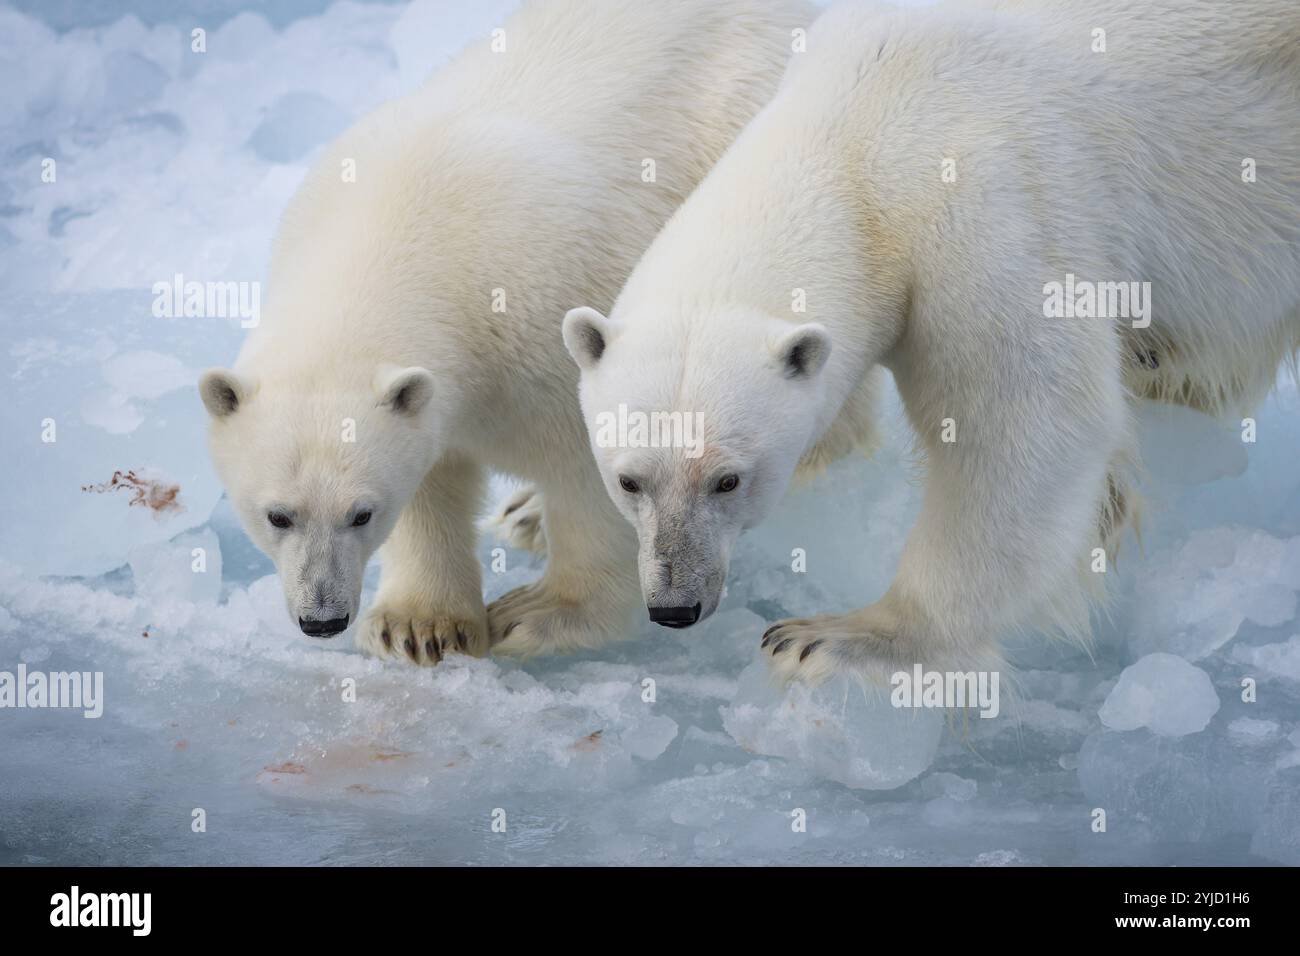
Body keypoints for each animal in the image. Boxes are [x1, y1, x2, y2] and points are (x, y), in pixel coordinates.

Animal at [199, 0, 814, 664]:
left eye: (361, 514)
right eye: (276, 516)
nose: (322, 619)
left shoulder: (553, 318)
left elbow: (593, 471)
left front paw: (541, 614)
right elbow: (431, 475)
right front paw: (419, 626)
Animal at [563, 0, 1300, 686]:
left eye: (728, 479)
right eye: (629, 479)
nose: (675, 606)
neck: (860, 121)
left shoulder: (986, 205)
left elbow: (1025, 420)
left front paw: (840, 635)